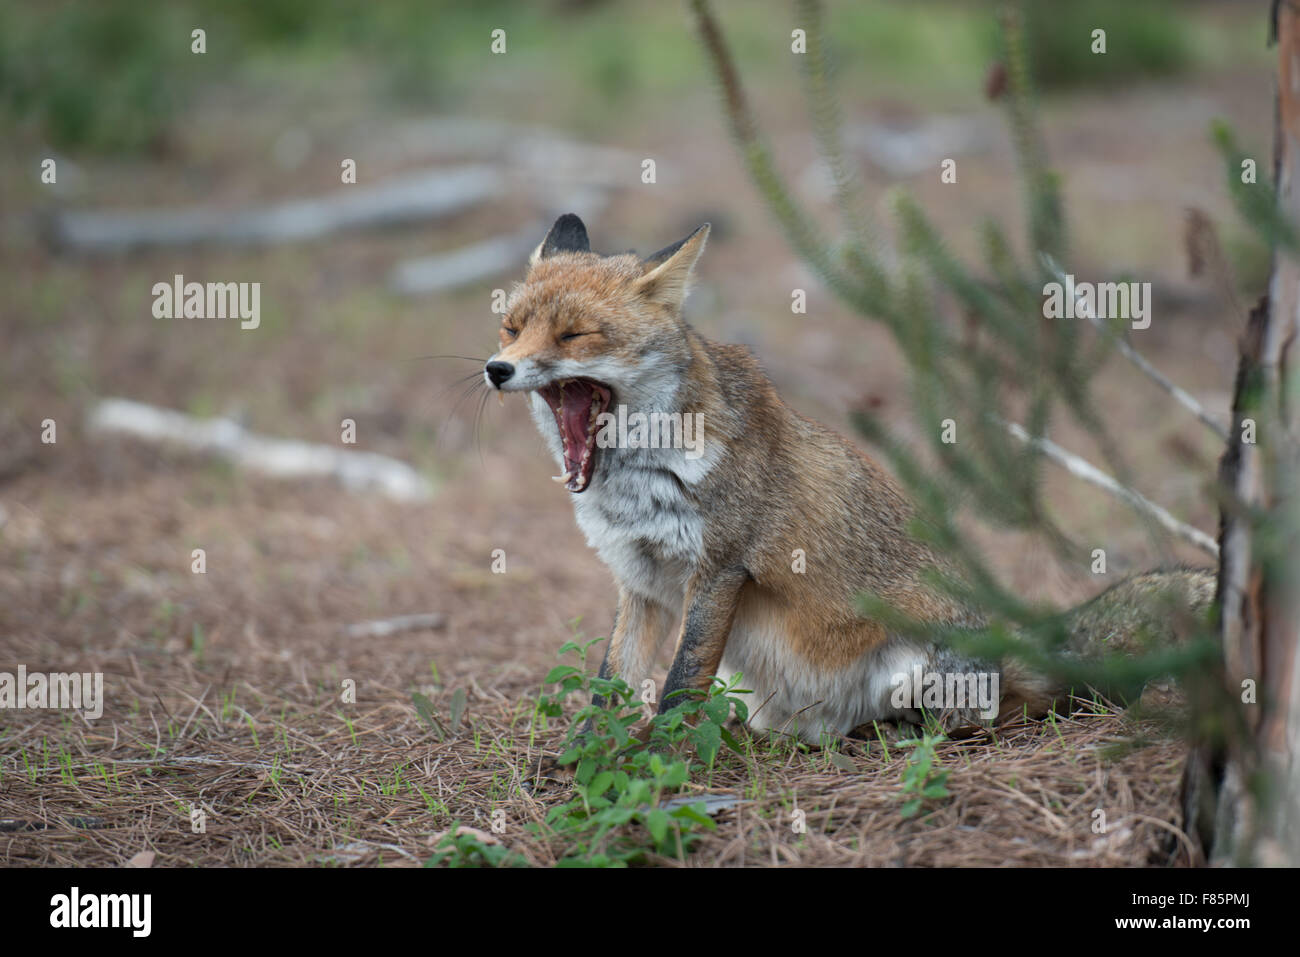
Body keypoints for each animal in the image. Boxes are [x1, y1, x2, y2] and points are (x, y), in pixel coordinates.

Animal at [483, 213, 1216, 742]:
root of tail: (1007, 645)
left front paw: (663, 759)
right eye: (512, 327)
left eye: (575, 335)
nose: (496, 369)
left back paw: (892, 734)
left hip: (921, 673)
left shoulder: (717, 570)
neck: (636, 484)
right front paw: (585, 760)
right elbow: (611, 681)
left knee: (985, 720)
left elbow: (679, 684)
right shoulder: (640, 583)